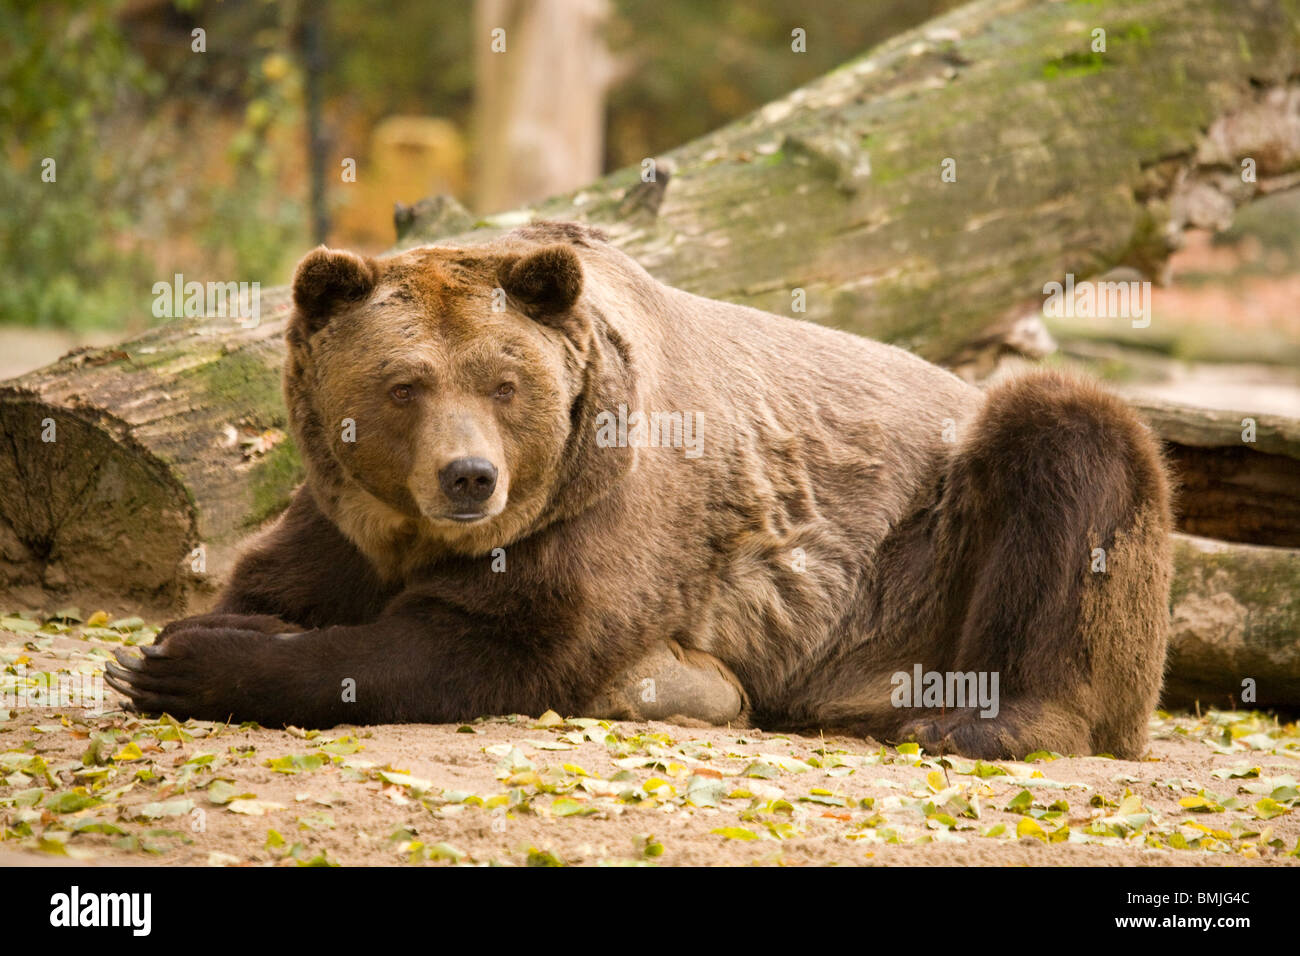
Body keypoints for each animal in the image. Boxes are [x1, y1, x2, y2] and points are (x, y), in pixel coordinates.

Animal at [106, 221, 1173, 760]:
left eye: (506, 383)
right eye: (404, 385)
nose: (469, 476)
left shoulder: (609, 509)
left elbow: (482, 643)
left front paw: (182, 661)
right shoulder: (343, 517)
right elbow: (282, 580)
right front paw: (198, 633)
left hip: (927, 557)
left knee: (1068, 446)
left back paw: (981, 718)